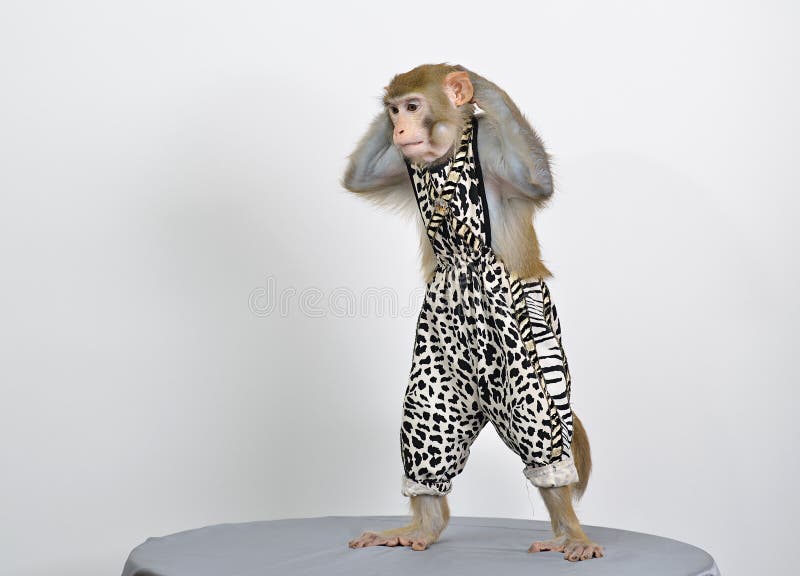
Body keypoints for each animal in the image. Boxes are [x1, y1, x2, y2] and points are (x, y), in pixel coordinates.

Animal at [341, 64, 604, 562]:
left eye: (413, 107)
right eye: (394, 111)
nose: (399, 128)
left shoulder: (497, 153)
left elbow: (535, 179)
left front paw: (471, 84)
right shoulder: (401, 164)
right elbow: (358, 178)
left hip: (526, 345)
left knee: (538, 431)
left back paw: (569, 533)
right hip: (439, 356)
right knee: (430, 427)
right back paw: (426, 522)